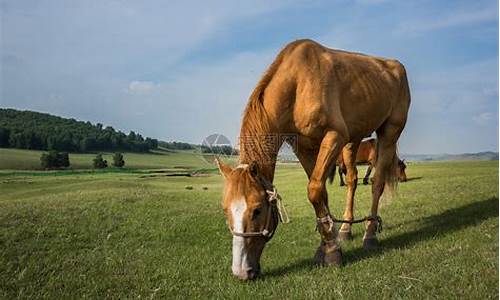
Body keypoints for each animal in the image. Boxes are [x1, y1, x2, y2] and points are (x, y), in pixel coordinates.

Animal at [215, 38, 410, 280]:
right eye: (225, 210)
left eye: (257, 210)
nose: (241, 271)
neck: (298, 84)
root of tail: (395, 67)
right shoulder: (304, 148)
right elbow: (321, 194)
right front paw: (326, 244)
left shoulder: (334, 136)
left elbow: (315, 190)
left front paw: (333, 252)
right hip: (352, 141)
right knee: (352, 180)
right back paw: (346, 229)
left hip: (389, 132)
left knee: (378, 182)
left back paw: (370, 234)